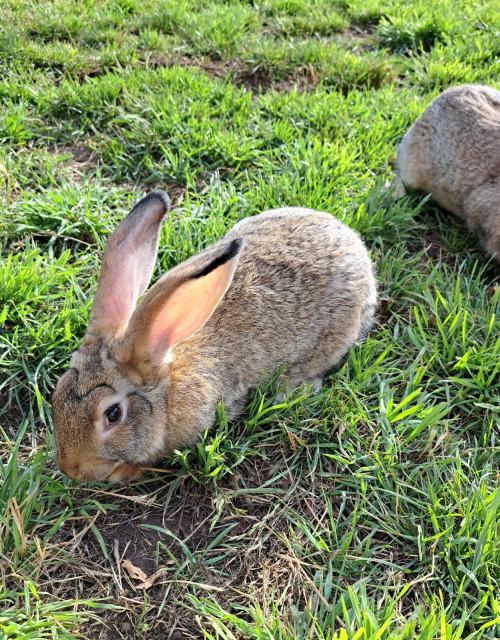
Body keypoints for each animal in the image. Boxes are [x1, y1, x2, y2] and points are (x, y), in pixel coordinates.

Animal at [52, 190, 377, 483]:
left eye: (113, 414)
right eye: (57, 392)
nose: (71, 469)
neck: (167, 388)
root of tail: (354, 245)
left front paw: (123, 472)